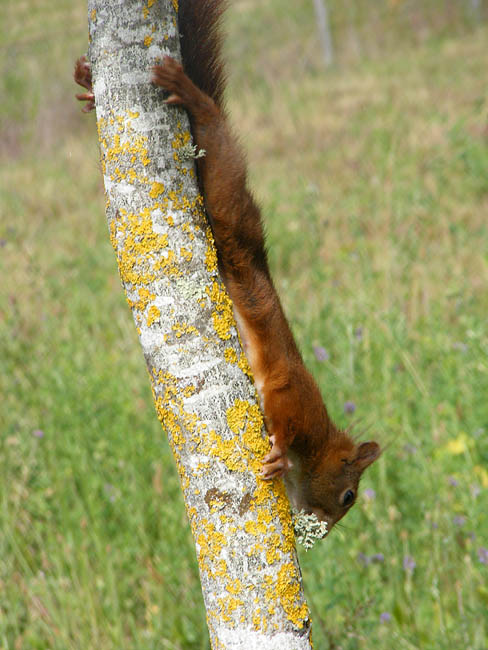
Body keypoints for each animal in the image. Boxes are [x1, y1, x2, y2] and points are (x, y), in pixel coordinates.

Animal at [74, 0, 380, 533]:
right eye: (347, 496)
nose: (321, 529)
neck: (319, 440)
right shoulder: (294, 394)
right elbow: (281, 416)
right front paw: (276, 456)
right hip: (225, 185)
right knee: (215, 134)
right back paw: (188, 97)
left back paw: (90, 87)